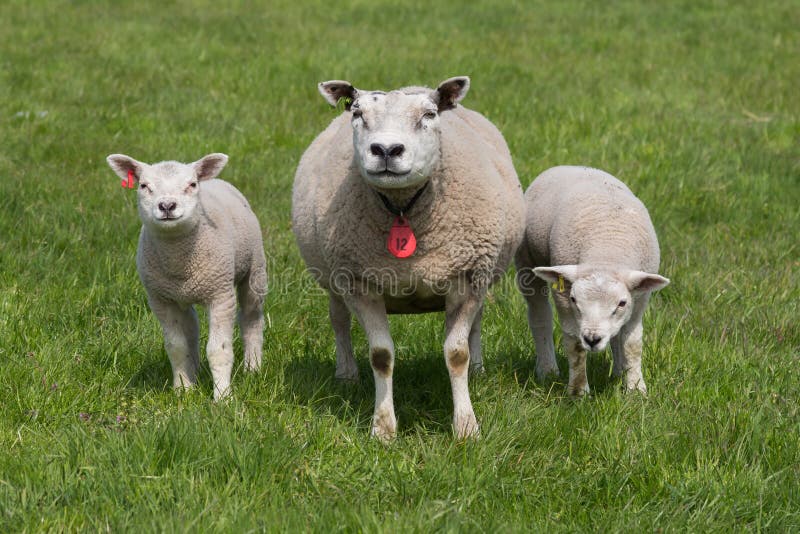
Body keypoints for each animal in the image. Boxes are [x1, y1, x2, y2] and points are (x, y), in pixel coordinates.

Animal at [106, 153, 267, 400]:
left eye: (191, 185)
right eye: (143, 186)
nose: (167, 206)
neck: (179, 264)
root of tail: (214, 180)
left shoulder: (221, 296)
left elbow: (218, 349)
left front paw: (223, 397)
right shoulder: (162, 300)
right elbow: (176, 347)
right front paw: (183, 390)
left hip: (254, 270)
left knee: (251, 317)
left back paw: (253, 367)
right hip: (183, 296)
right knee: (192, 326)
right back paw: (195, 370)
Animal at [292, 76, 525, 439]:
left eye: (429, 114)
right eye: (357, 113)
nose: (387, 150)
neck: (402, 208)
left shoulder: (468, 278)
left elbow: (456, 353)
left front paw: (466, 427)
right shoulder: (359, 283)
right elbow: (381, 356)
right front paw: (383, 429)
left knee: (476, 324)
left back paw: (478, 369)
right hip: (332, 277)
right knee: (338, 320)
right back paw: (346, 374)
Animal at [515, 166, 669, 395]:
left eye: (622, 303)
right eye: (574, 300)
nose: (592, 339)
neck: (607, 251)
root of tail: (568, 166)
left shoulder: (640, 298)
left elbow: (632, 342)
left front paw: (635, 388)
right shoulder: (563, 297)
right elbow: (574, 343)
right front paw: (578, 391)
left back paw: (618, 373)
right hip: (526, 260)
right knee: (539, 314)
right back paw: (547, 370)